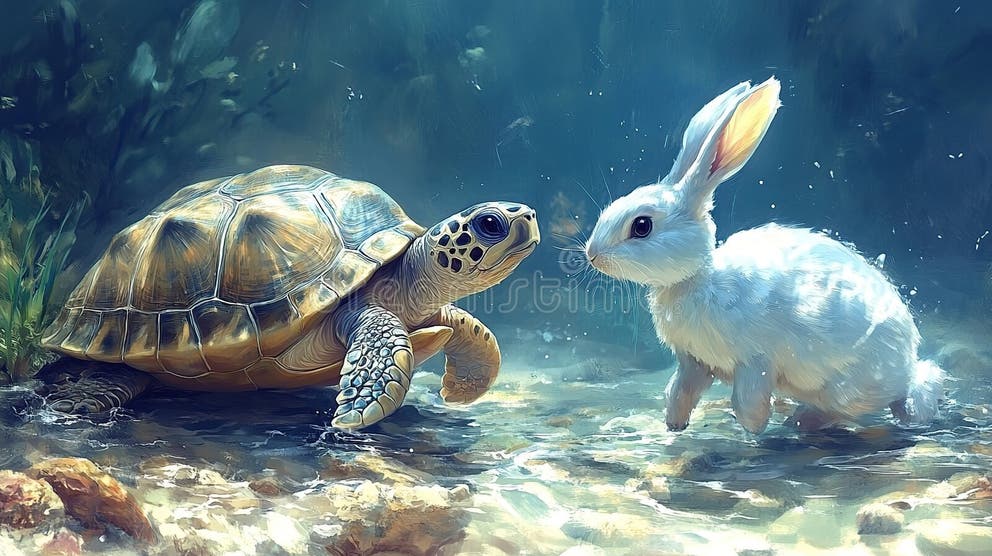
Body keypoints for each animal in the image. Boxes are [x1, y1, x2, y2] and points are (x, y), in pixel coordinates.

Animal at [584, 77, 944, 434]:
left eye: (642, 226)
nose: (592, 254)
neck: (697, 279)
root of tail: (907, 365)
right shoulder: (694, 361)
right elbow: (678, 393)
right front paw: (672, 427)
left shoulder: (755, 361)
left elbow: (748, 405)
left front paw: (752, 433)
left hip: (846, 385)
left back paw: (802, 420)